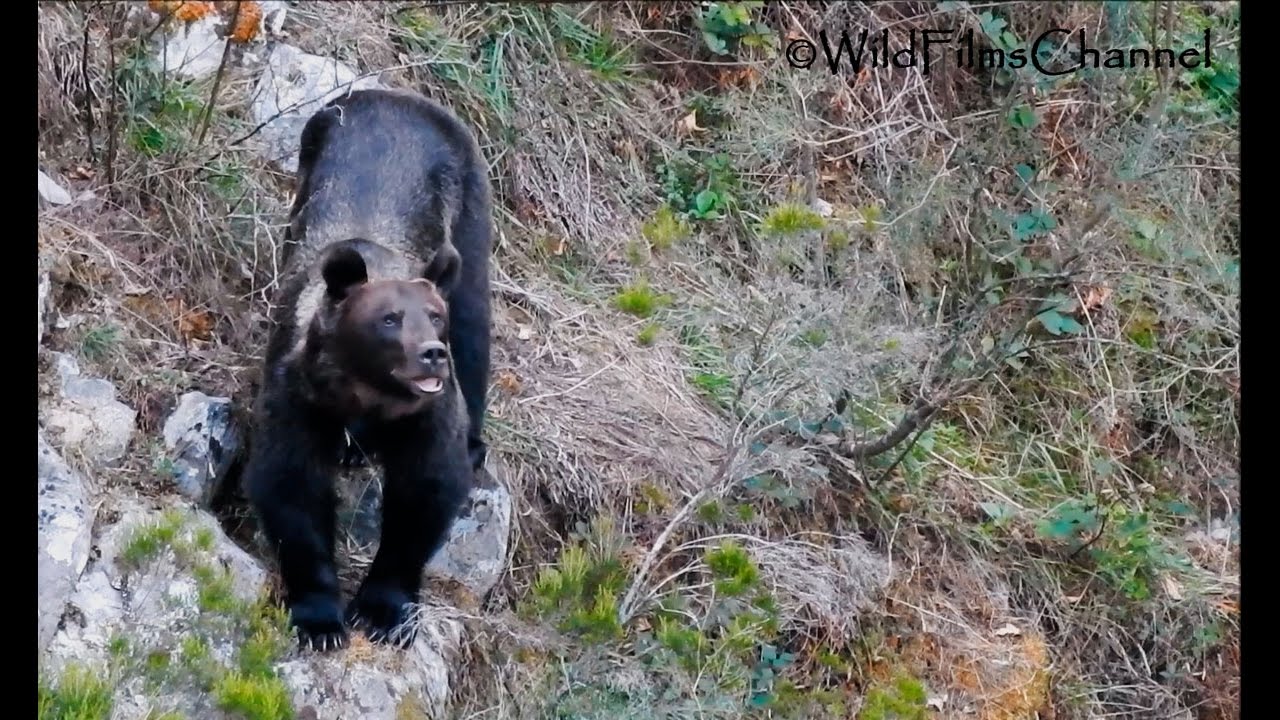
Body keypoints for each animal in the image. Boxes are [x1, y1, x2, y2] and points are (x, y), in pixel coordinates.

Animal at [242, 87, 493, 651]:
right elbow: (291, 485)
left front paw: (381, 611)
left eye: (432, 315)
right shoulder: (299, 395)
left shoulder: (426, 413)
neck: (368, 394)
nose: (430, 353)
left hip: (469, 207)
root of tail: (399, 95)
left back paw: (474, 441)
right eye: (389, 318)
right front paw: (319, 617)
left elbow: (426, 488)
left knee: (475, 326)